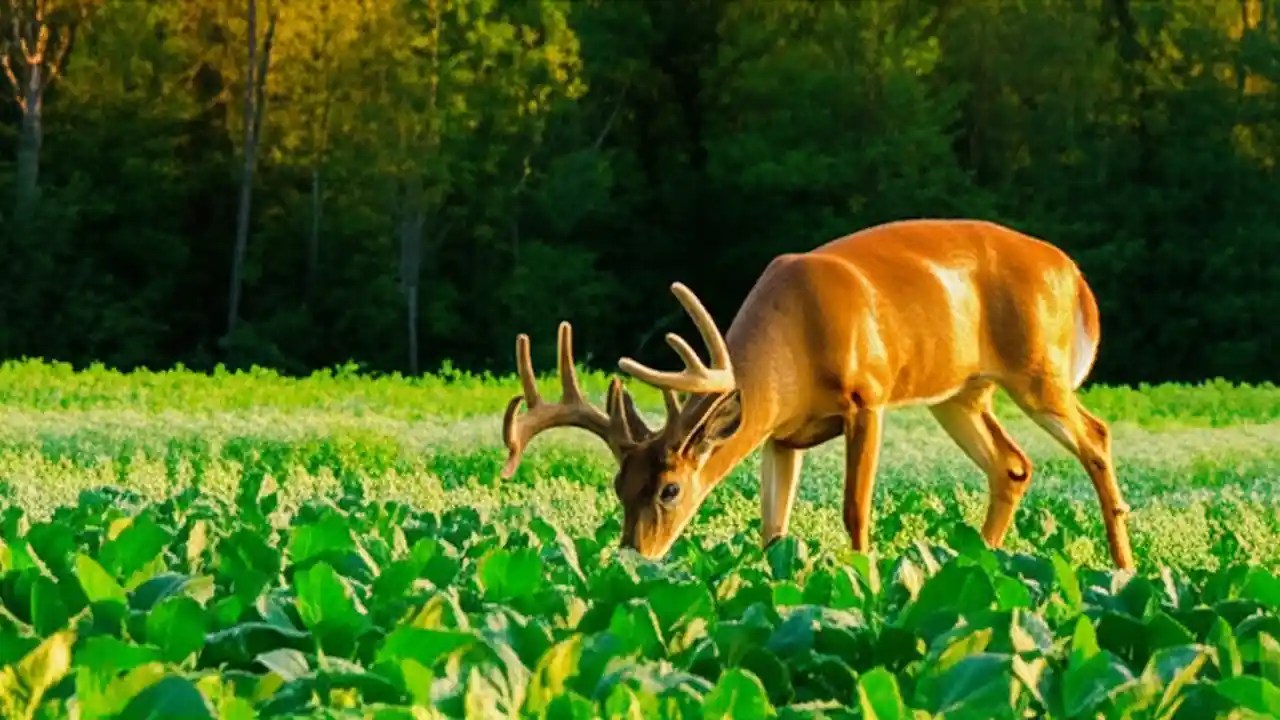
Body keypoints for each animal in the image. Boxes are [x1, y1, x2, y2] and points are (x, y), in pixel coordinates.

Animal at [498, 218, 1135, 570]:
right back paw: (977, 563)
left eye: (670, 489)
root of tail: (1072, 273)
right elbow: (772, 530)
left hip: (1038, 369)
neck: (794, 346)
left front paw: (863, 580)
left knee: (1096, 436)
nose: (631, 557)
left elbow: (855, 508)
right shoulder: (781, 435)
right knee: (1013, 465)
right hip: (959, 395)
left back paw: (1123, 567)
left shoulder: (869, 396)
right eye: (618, 486)